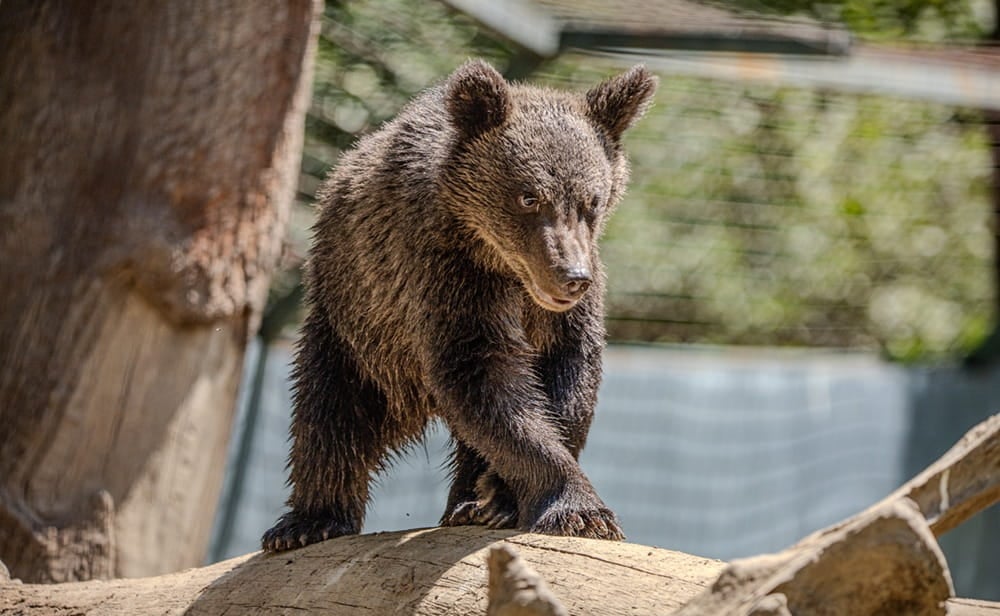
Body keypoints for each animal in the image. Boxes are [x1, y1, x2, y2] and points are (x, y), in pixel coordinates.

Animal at [262, 59, 657, 551]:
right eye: (529, 196)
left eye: (592, 201)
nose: (571, 277)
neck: (501, 264)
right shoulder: (445, 275)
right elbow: (481, 376)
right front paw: (580, 510)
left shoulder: (560, 314)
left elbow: (564, 381)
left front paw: (503, 497)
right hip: (356, 324)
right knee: (329, 411)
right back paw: (307, 521)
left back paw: (467, 501)